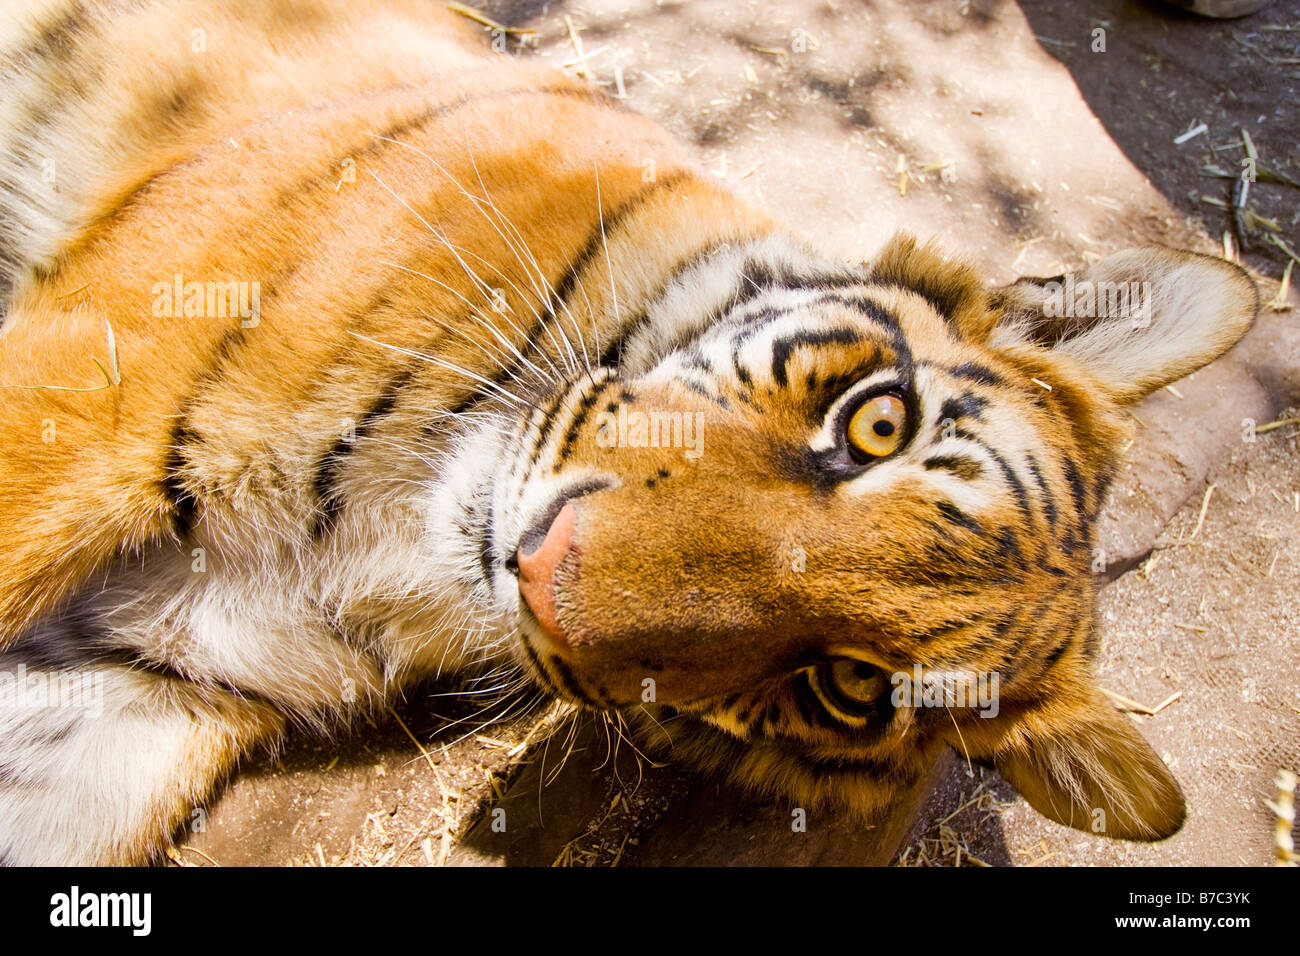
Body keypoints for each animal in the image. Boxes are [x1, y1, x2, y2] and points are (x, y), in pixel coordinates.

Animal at [0, 0, 1258, 866]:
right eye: (875, 423)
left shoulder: (146, 680)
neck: (396, 543)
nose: (540, 565)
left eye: (846, 685)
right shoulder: (97, 378)